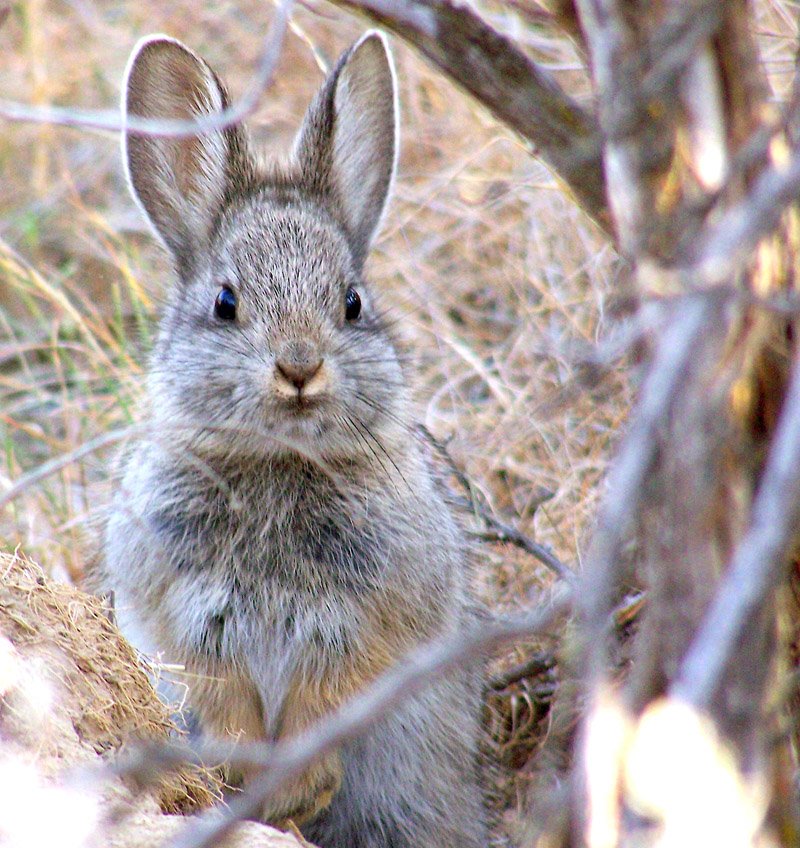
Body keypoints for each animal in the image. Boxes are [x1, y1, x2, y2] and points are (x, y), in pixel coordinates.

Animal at [94, 29, 490, 848]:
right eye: (225, 302)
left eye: (352, 302)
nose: (300, 368)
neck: (280, 458)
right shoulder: (184, 621)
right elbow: (222, 700)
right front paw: (248, 783)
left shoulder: (370, 621)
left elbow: (332, 697)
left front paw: (299, 789)